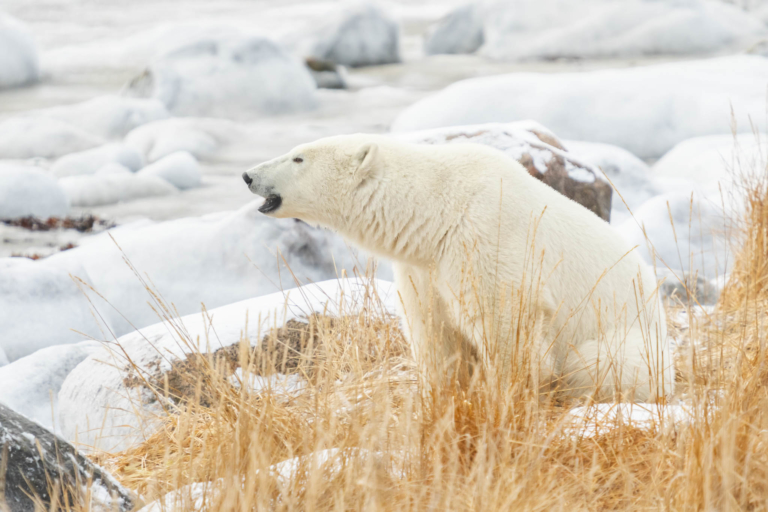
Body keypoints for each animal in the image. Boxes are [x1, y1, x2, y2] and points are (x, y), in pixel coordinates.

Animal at [242, 134, 674, 402]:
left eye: (298, 157)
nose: (248, 175)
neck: (437, 211)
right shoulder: (423, 266)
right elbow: (437, 334)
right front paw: (443, 396)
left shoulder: (487, 239)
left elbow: (509, 327)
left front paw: (504, 398)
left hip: (629, 337)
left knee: (607, 362)